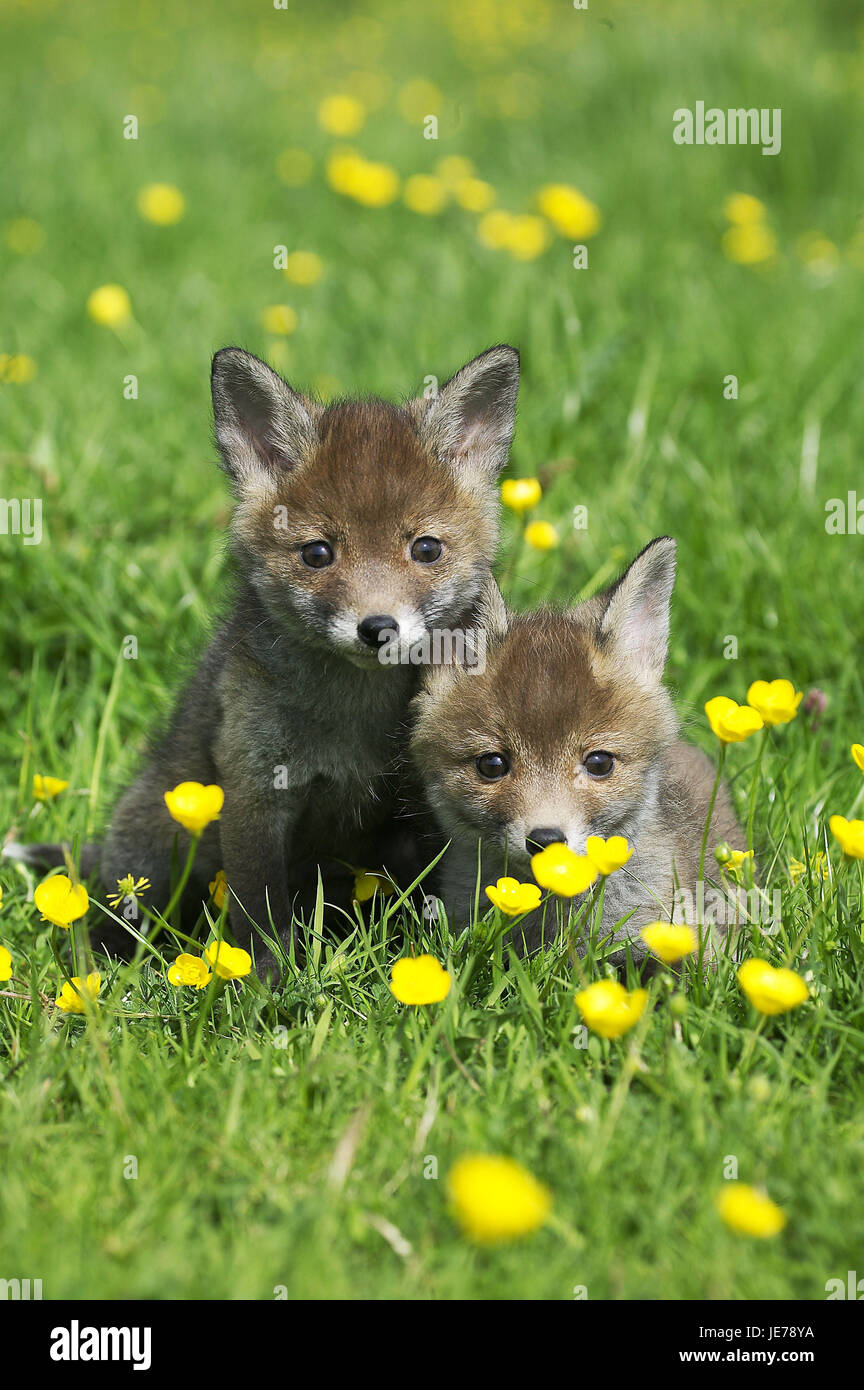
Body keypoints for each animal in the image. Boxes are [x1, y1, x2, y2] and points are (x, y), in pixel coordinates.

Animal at [8, 344, 521, 968]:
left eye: (426, 548)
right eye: (317, 554)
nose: (378, 628)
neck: (353, 720)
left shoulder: (422, 802)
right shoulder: (254, 790)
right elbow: (259, 918)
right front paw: (264, 983)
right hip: (152, 853)